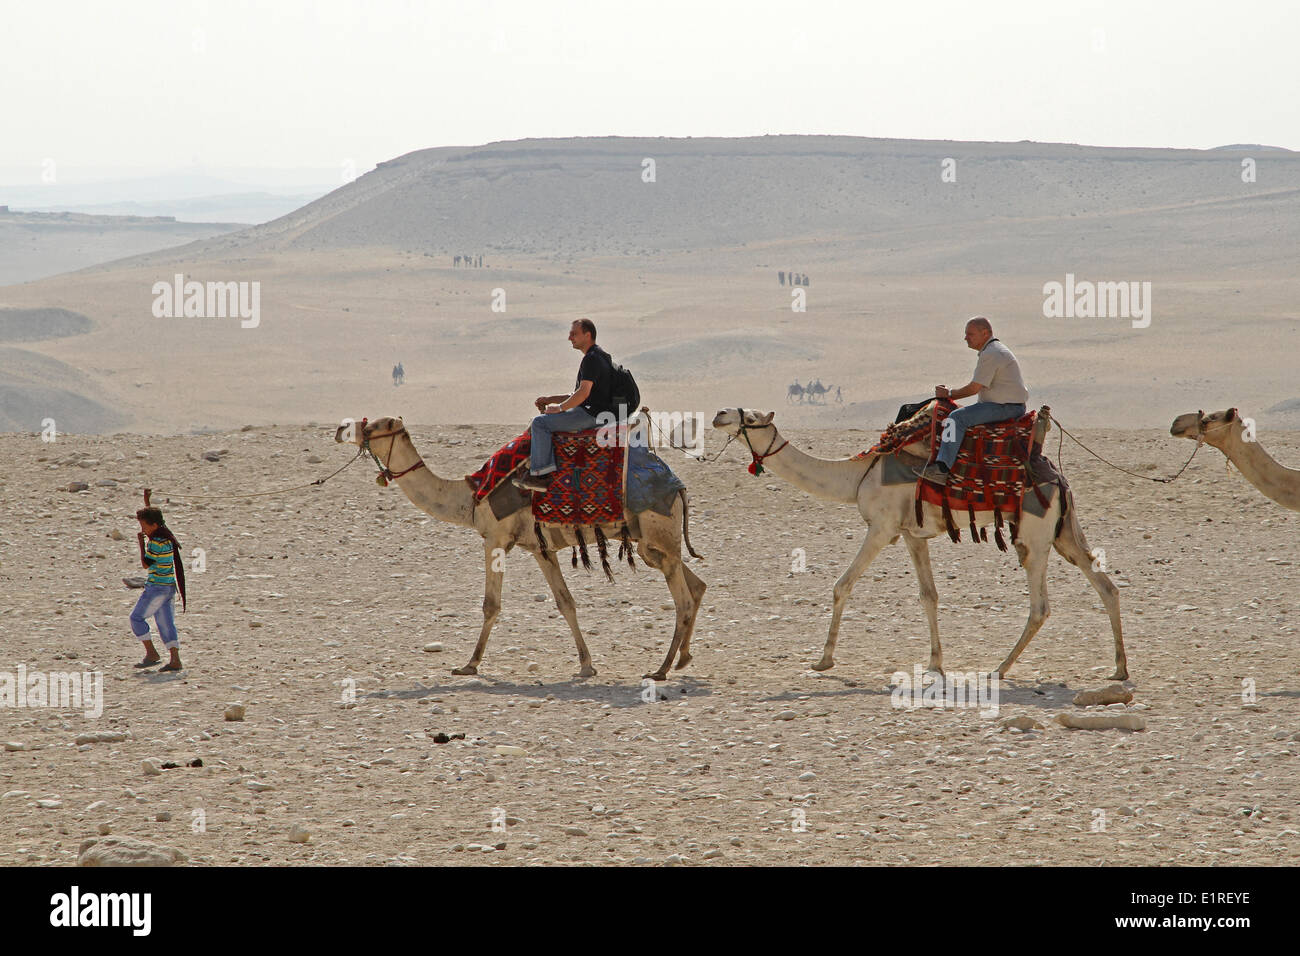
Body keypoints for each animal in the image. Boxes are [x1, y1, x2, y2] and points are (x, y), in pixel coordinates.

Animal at [335, 416, 706, 679]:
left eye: (375, 425)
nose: (340, 428)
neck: (469, 498)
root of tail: (677, 485)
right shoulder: (541, 548)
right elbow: (566, 603)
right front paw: (587, 665)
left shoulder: (495, 539)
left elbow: (490, 605)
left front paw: (469, 665)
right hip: (652, 544)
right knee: (696, 585)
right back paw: (684, 659)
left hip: (657, 531)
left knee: (683, 599)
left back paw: (661, 669)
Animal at [712, 407, 1127, 679]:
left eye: (751, 418)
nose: (718, 414)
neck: (856, 475)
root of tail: (1056, 476)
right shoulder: (913, 535)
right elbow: (929, 595)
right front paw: (935, 663)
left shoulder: (881, 528)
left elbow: (841, 585)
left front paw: (823, 660)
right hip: (1064, 532)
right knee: (1106, 585)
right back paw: (1120, 669)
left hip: (1035, 536)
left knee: (1040, 606)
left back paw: (999, 668)